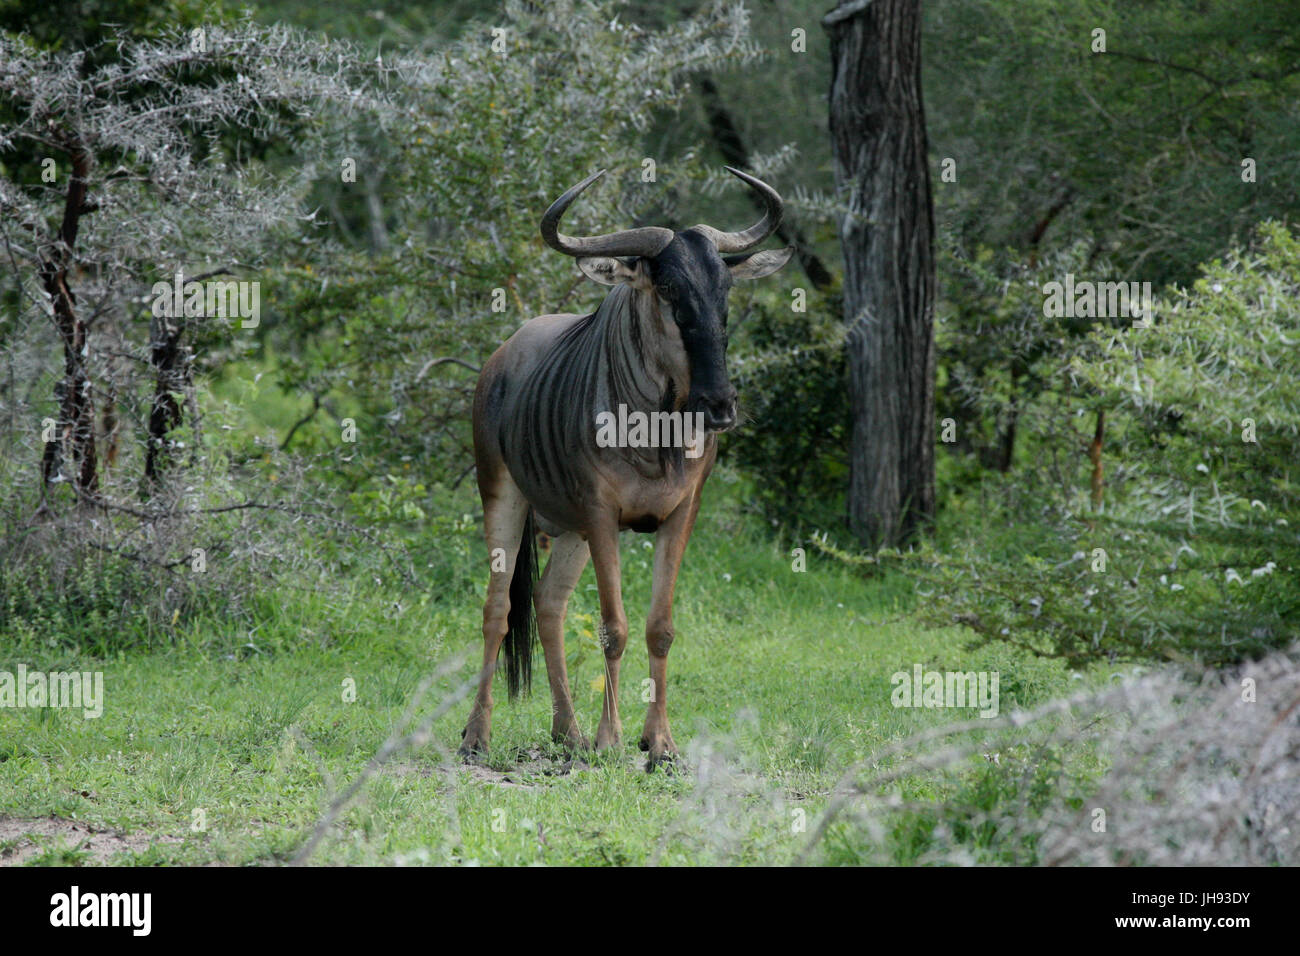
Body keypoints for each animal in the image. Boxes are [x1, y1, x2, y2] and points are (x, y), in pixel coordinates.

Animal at [460, 167, 792, 770]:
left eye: (725, 289)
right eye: (668, 290)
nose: (719, 406)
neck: (656, 435)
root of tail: (500, 358)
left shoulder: (679, 515)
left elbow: (660, 629)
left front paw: (659, 744)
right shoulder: (602, 515)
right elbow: (613, 628)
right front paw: (610, 739)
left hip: (568, 530)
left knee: (548, 605)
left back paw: (566, 732)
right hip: (503, 497)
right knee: (497, 610)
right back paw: (477, 736)